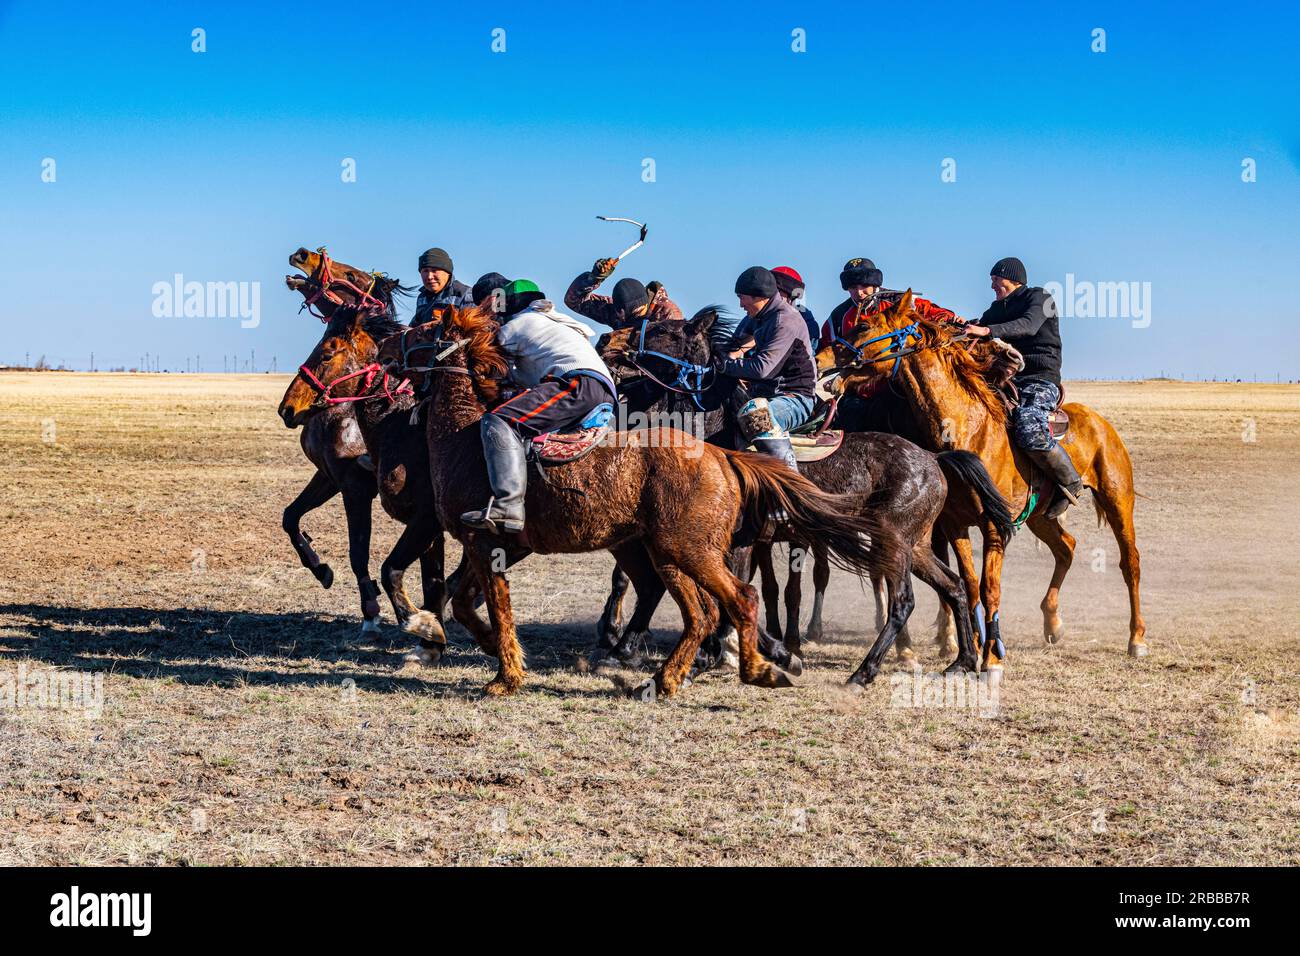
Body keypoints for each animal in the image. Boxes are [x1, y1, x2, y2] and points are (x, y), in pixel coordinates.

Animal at [386, 304, 938, 697]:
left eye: (423, 327)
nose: (387, 350)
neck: (464, 434)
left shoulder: (489, 542)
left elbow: (488, 603)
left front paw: (500, 671)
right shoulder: (493, 546)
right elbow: (464, 598)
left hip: (697, 549)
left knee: (745, 599)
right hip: (669, 550)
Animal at [821, 292, 1148, 664]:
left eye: (863, 326)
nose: (821, 356)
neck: (967, 431)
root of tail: (1100, 423)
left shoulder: (994, 526)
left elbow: (990, 588)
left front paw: (991, 655)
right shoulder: (954, 525)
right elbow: (969, 584)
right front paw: (973, 647)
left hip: (1117, 500)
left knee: (1130, 562)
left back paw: (1136, 639)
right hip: (1040, 517)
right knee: (1066, 548)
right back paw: (1053, 624)